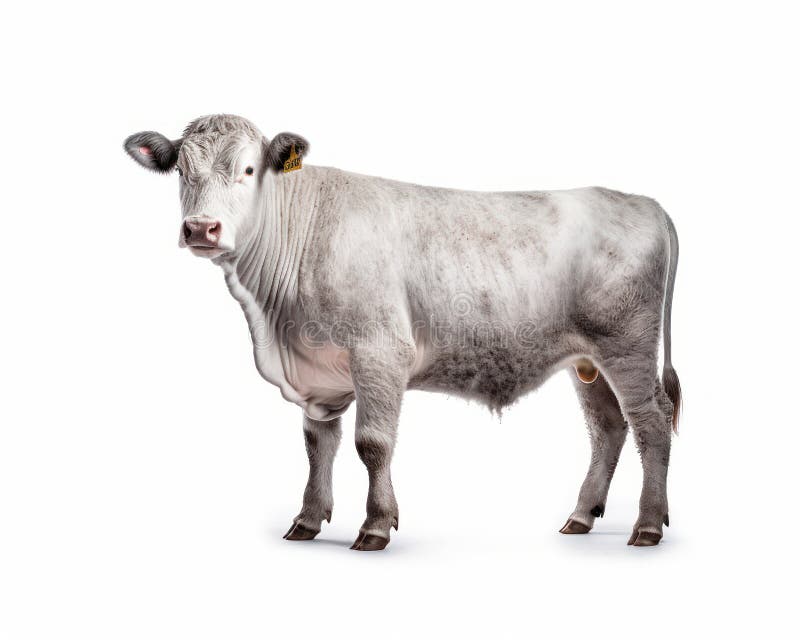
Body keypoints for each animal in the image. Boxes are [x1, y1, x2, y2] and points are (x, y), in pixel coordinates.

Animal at [124, 114, 681, 550]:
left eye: (247, 170)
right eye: (181, 171)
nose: (201, 228)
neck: (277, 324)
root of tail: (641, 202)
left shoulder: (380, 352)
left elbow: (372, 443)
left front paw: (375, 525)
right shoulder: (319, 375)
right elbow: (317, 444)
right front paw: (307, 519)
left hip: (628, 346)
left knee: (652, 422)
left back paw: (648, 525)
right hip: (588, 361)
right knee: (608, 426)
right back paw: (582, 515)